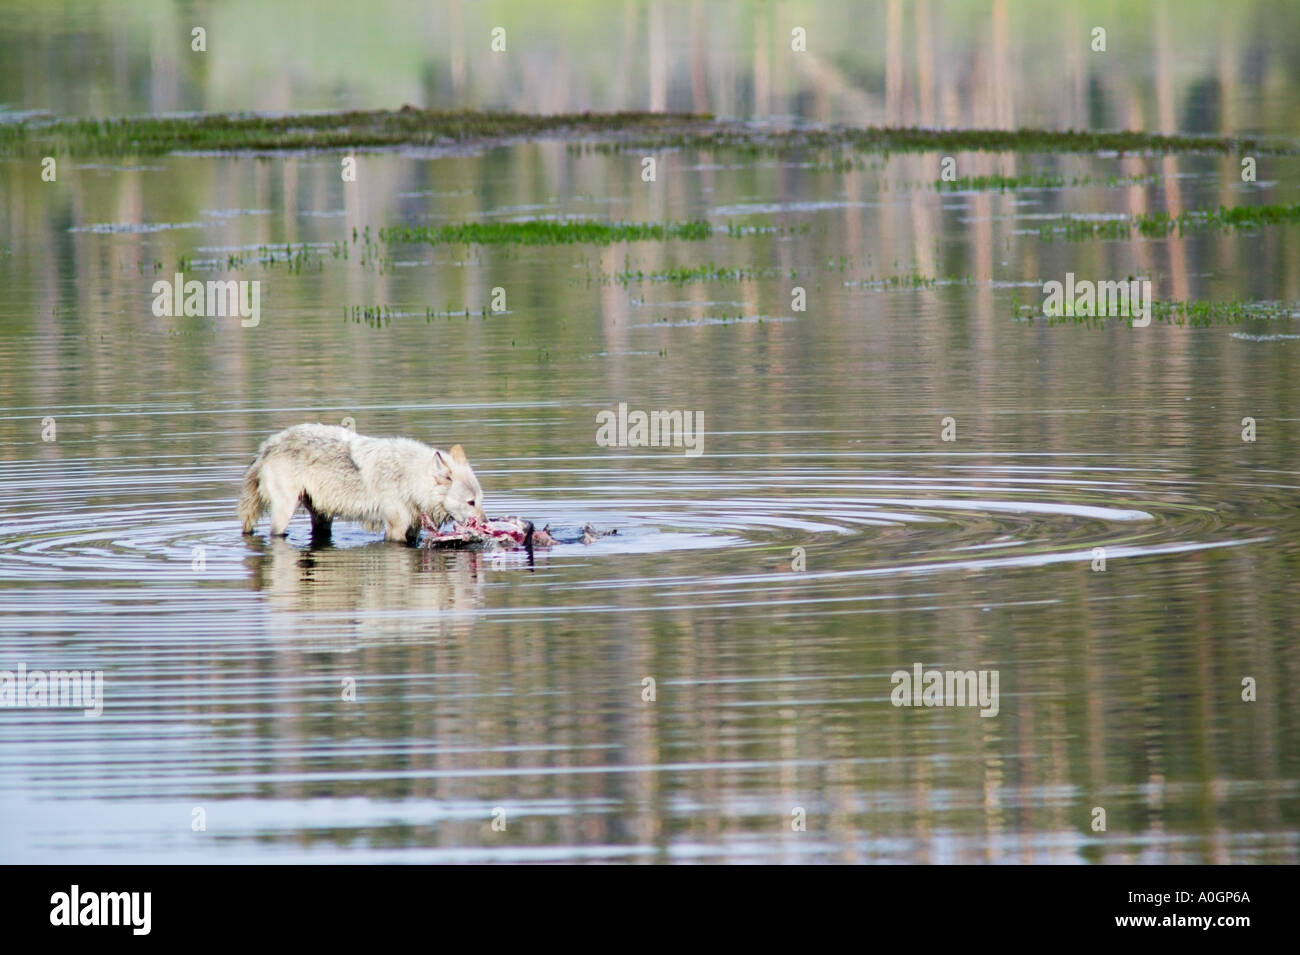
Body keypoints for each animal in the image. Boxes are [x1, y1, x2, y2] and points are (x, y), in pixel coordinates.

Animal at [238, 423, 486, 544]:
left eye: (480, 501)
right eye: (470, 502)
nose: (486, 522)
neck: (408, 480)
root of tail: (267, 446)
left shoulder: (413, 529)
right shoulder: (395, 529)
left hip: (322, 516)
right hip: (285, 511)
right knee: (275, 534)